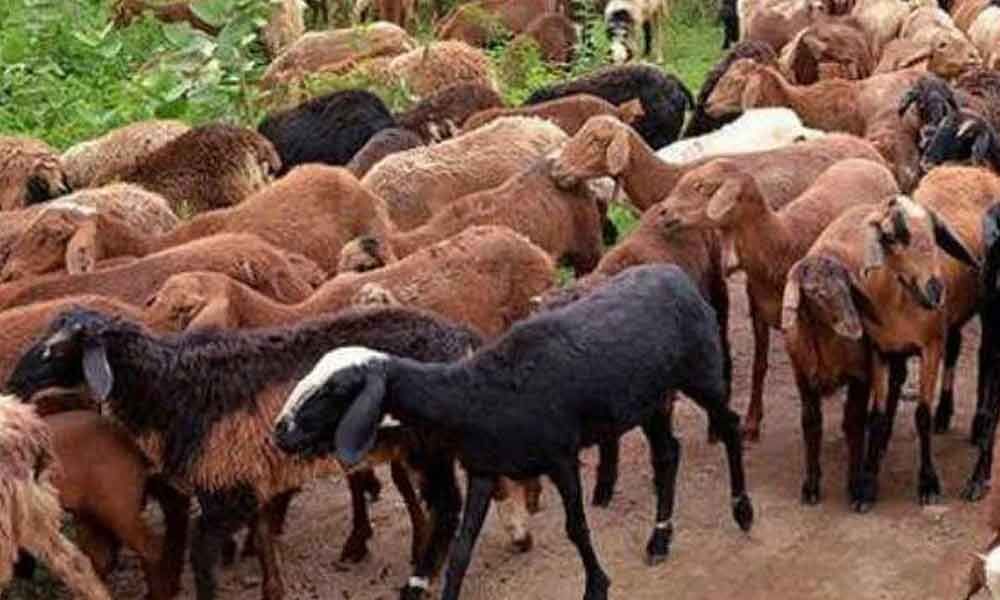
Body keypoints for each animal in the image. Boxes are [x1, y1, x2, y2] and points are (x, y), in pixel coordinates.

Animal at [274, 264, 755, 600]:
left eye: (336, 389)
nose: (280, 431)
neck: (474, 396)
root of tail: (675, 274)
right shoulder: (485, 471)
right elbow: (462, 548)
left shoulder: (561, 457)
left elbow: (576, 528)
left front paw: (597, 585)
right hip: (649, 401)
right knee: (668, 454)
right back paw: (660, 538)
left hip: (701, 373)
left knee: (729, 426)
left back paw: (742, 510)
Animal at [659, 158, 898, 443]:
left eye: (702, 186)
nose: (662, 212)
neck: (779, 240)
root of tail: (871, 162)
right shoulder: (758, 309)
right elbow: (759, 366)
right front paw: (751, 422)